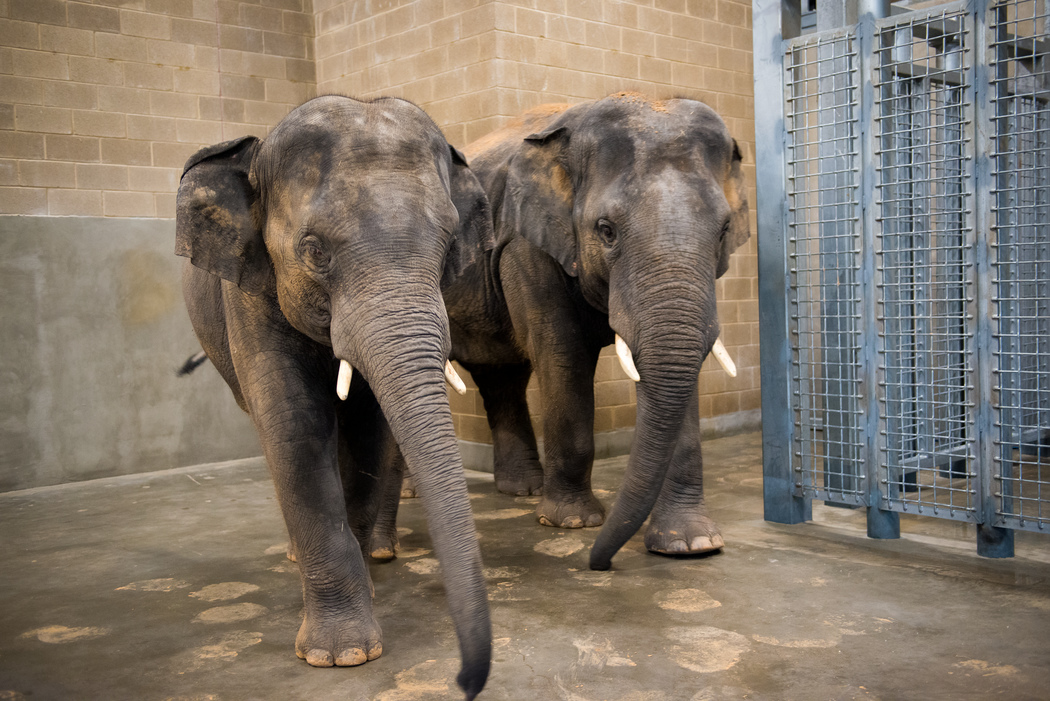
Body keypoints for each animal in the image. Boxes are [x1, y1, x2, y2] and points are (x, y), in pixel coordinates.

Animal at [176, 95, 492, 698]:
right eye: (314, 250)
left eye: (447, 249)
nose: (467, 677)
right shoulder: (248, 291)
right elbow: (294, 428)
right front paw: (341, 655)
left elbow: (369, 430)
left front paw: (361, 606)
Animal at [433, 93, 750, 572]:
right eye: (606, 231)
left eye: (724, 231)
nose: (599, 563)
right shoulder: (524, 245)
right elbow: (563, 358)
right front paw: (570, 523)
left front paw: (692, 545)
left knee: (501, 375)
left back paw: (522, 491)